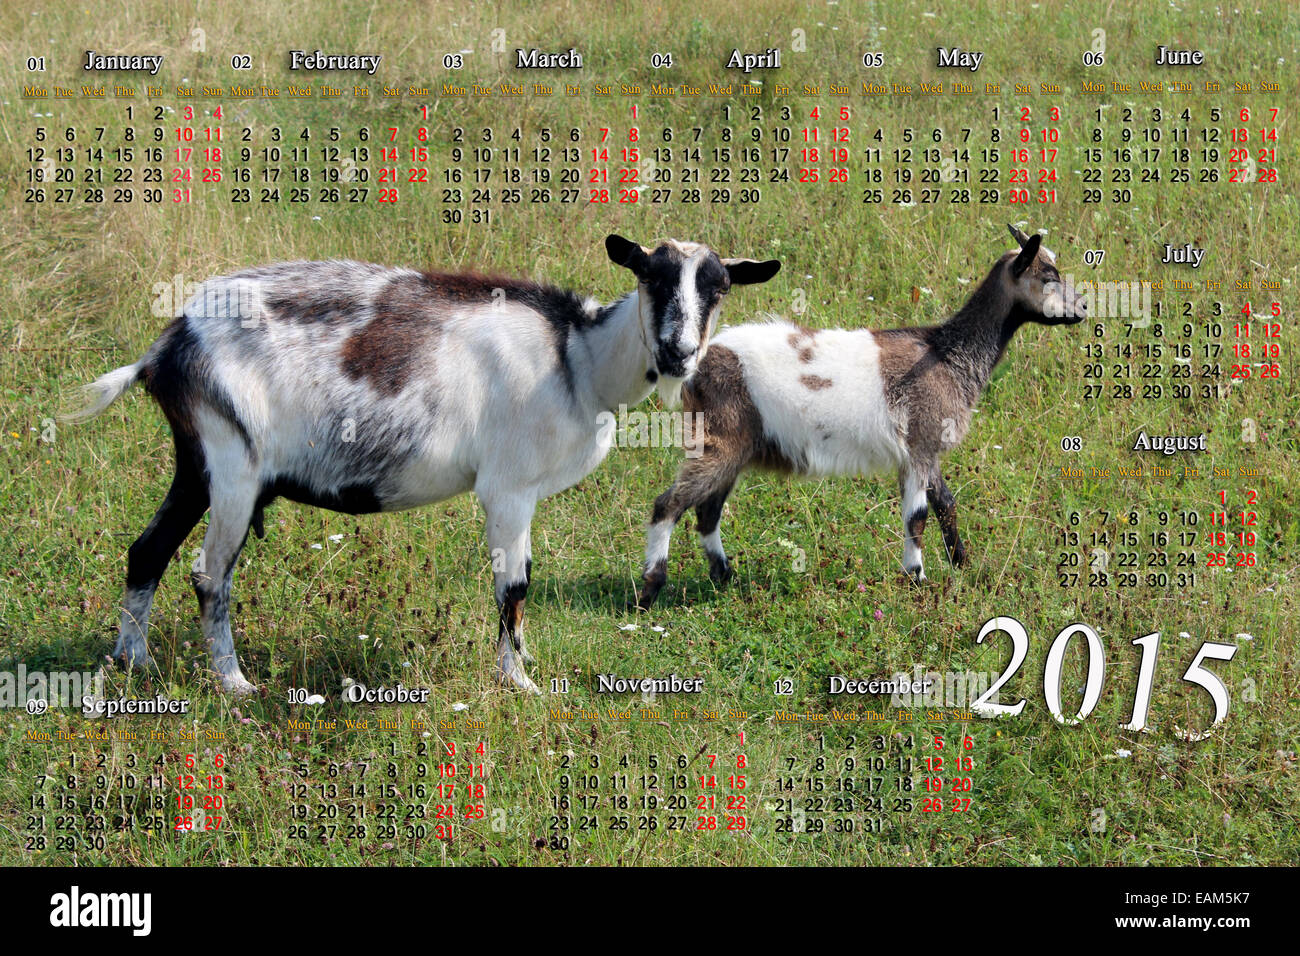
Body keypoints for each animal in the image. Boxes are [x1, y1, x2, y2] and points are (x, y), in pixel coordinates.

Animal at [65, 237, 780, 694]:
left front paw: (523, 665)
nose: (679, 351)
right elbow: (513, 585)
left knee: (147, 550)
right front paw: (520, 683)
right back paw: (235, 684)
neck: (576, 359)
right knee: (209, 575)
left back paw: (134, 663)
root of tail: (167, 346)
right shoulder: (507, 489)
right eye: (651, 276)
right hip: (233, 468)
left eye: (718, 287)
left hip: (197, 466)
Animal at [636, 226, 1085, 609]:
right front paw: (917, 578)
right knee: (668, 504)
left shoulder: (924, 450)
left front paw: (963, 565)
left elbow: (946, 505)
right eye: (1049, 275)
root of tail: (697, 364)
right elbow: (918, 516)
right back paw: (650, 590)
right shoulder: (919, 442)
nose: (1082, 307)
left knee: (707, 512)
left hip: (735, 447)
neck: (945, 354)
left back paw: (723, 576)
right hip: (720, 438)